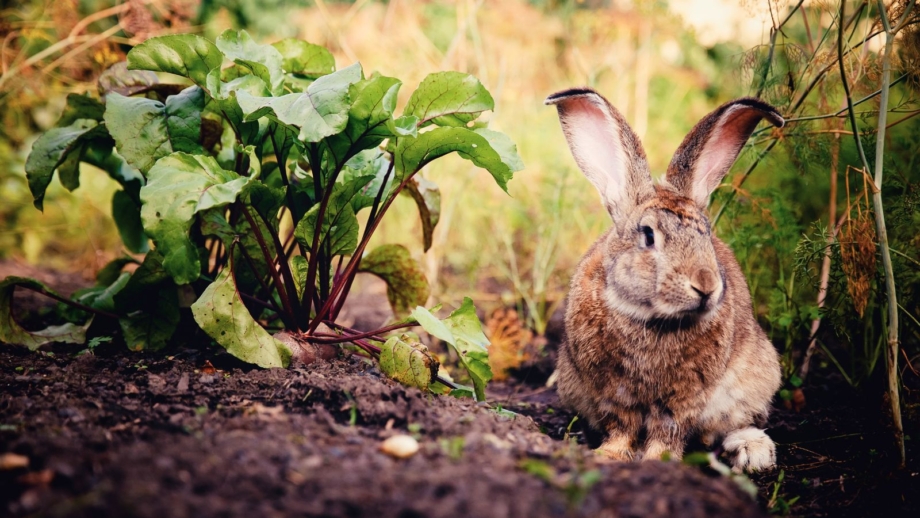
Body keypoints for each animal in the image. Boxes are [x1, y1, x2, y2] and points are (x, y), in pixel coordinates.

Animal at [545, 88, 784, 473]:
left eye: (706, 233)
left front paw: (659, 462)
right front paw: (610, 456)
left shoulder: (685, 396)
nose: (706, 287)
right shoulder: (612, 392)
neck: (651, 318)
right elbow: (622, 426)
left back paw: (753, 452)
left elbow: (668, 429)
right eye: (648, 236)